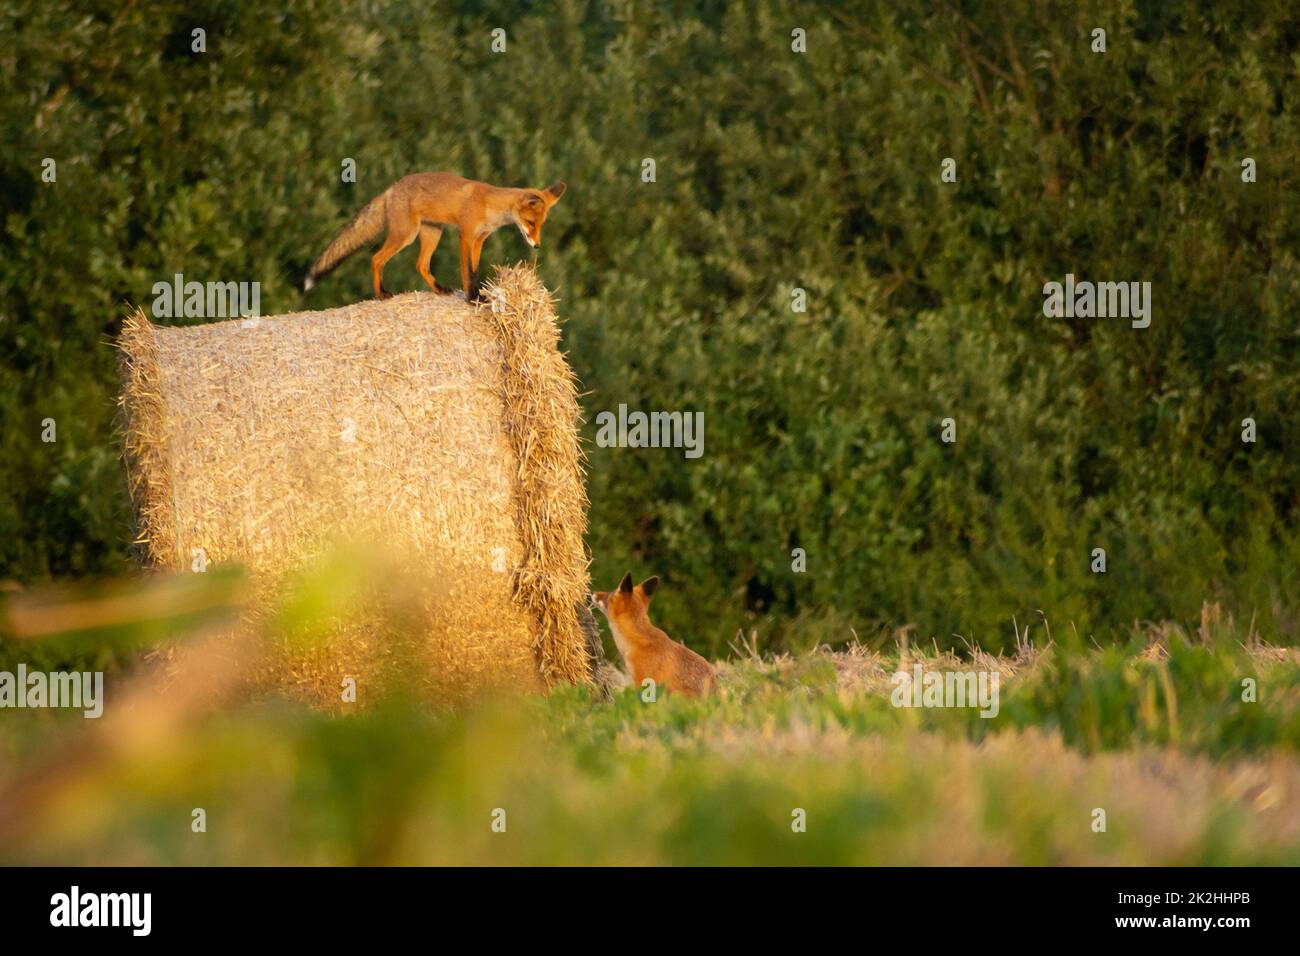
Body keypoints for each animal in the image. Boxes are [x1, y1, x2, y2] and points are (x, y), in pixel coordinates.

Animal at [303, 172, 566, 302]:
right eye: (531, 224)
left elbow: (475, 269)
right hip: (405, 235)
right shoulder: (466, 236)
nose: (537, 245)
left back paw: (439, 289)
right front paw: (472, 298)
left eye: (541, 225)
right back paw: (381, 294)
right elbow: (467, 271)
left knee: (421, 265)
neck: (489, 205)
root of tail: (391, 188)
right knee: (376, 259)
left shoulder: (480, 240)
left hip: (432, 234)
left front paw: (478, 294)